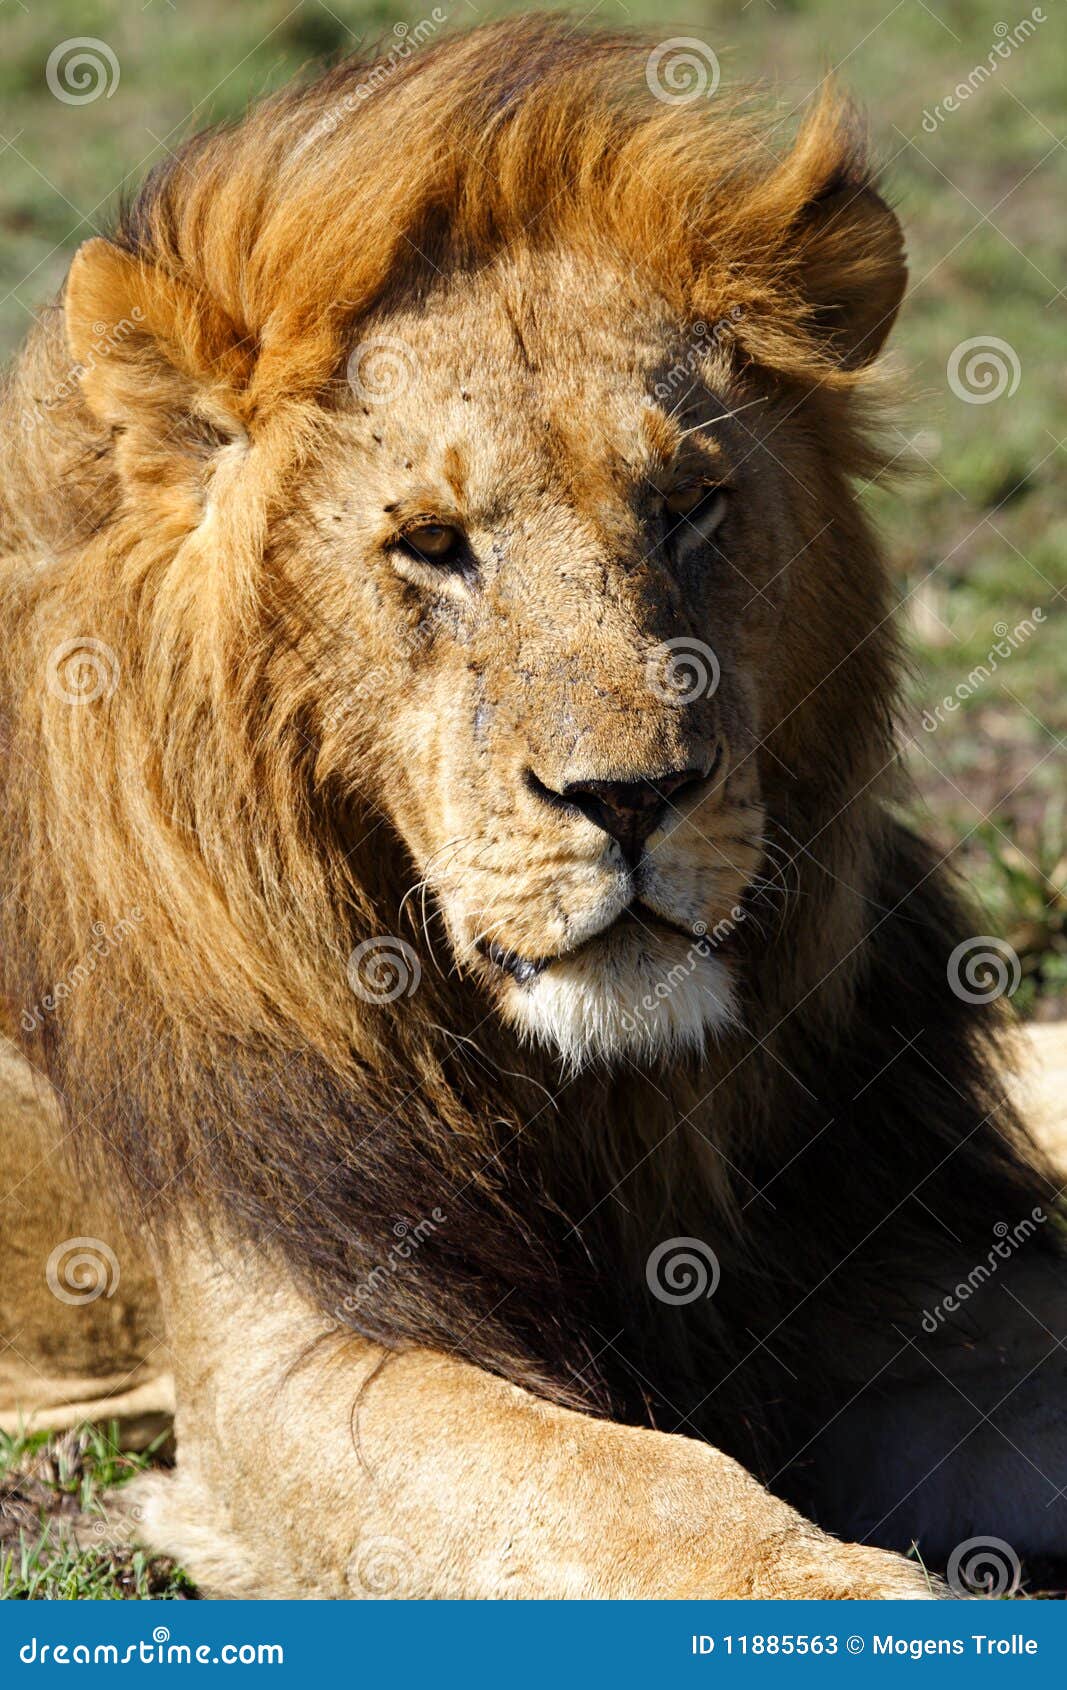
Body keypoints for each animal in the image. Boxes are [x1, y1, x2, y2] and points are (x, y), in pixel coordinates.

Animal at [2, 16, 1066, 1600]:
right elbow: (627, 1485)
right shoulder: (293, 1356)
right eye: (431, 544)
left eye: (688, 508)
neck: (594, 1093)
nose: (631, 799)